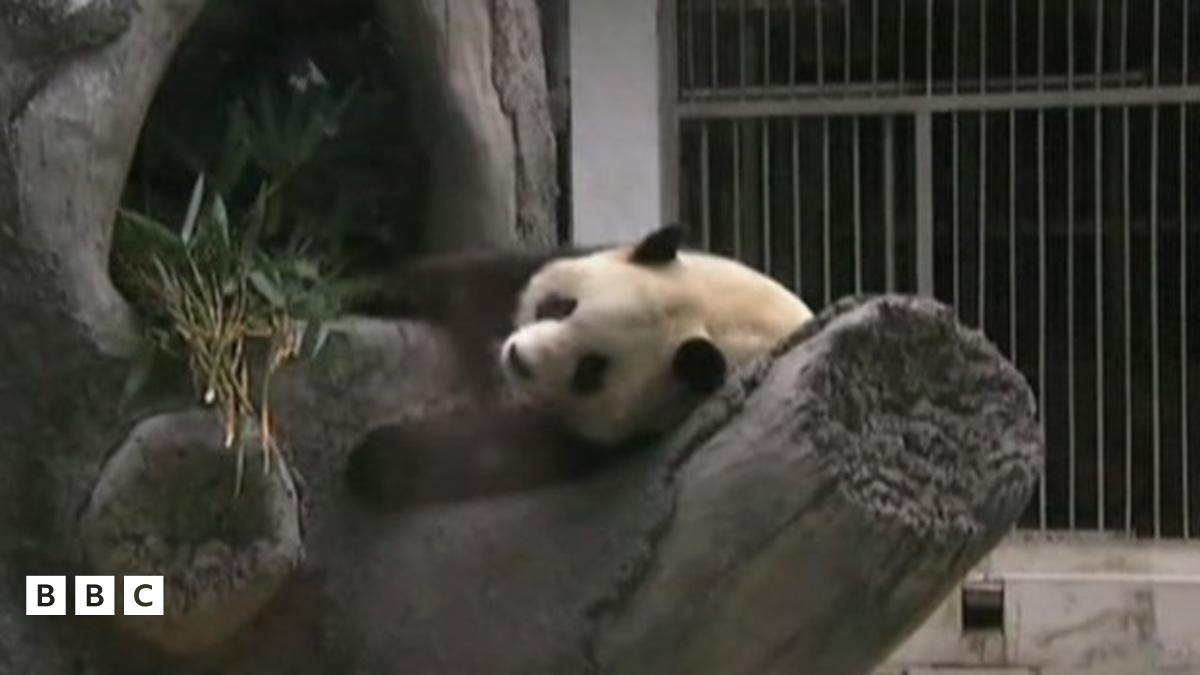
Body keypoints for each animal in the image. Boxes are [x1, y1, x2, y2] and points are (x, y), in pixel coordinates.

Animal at [345, 225, 814, 510]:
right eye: (561, 306)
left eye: (591, 370)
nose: (518, 358)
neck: (718, 310)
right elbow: (486, 279)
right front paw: (359, 290)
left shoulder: (655, 416)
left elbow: (515, 448)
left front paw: (376, 456)